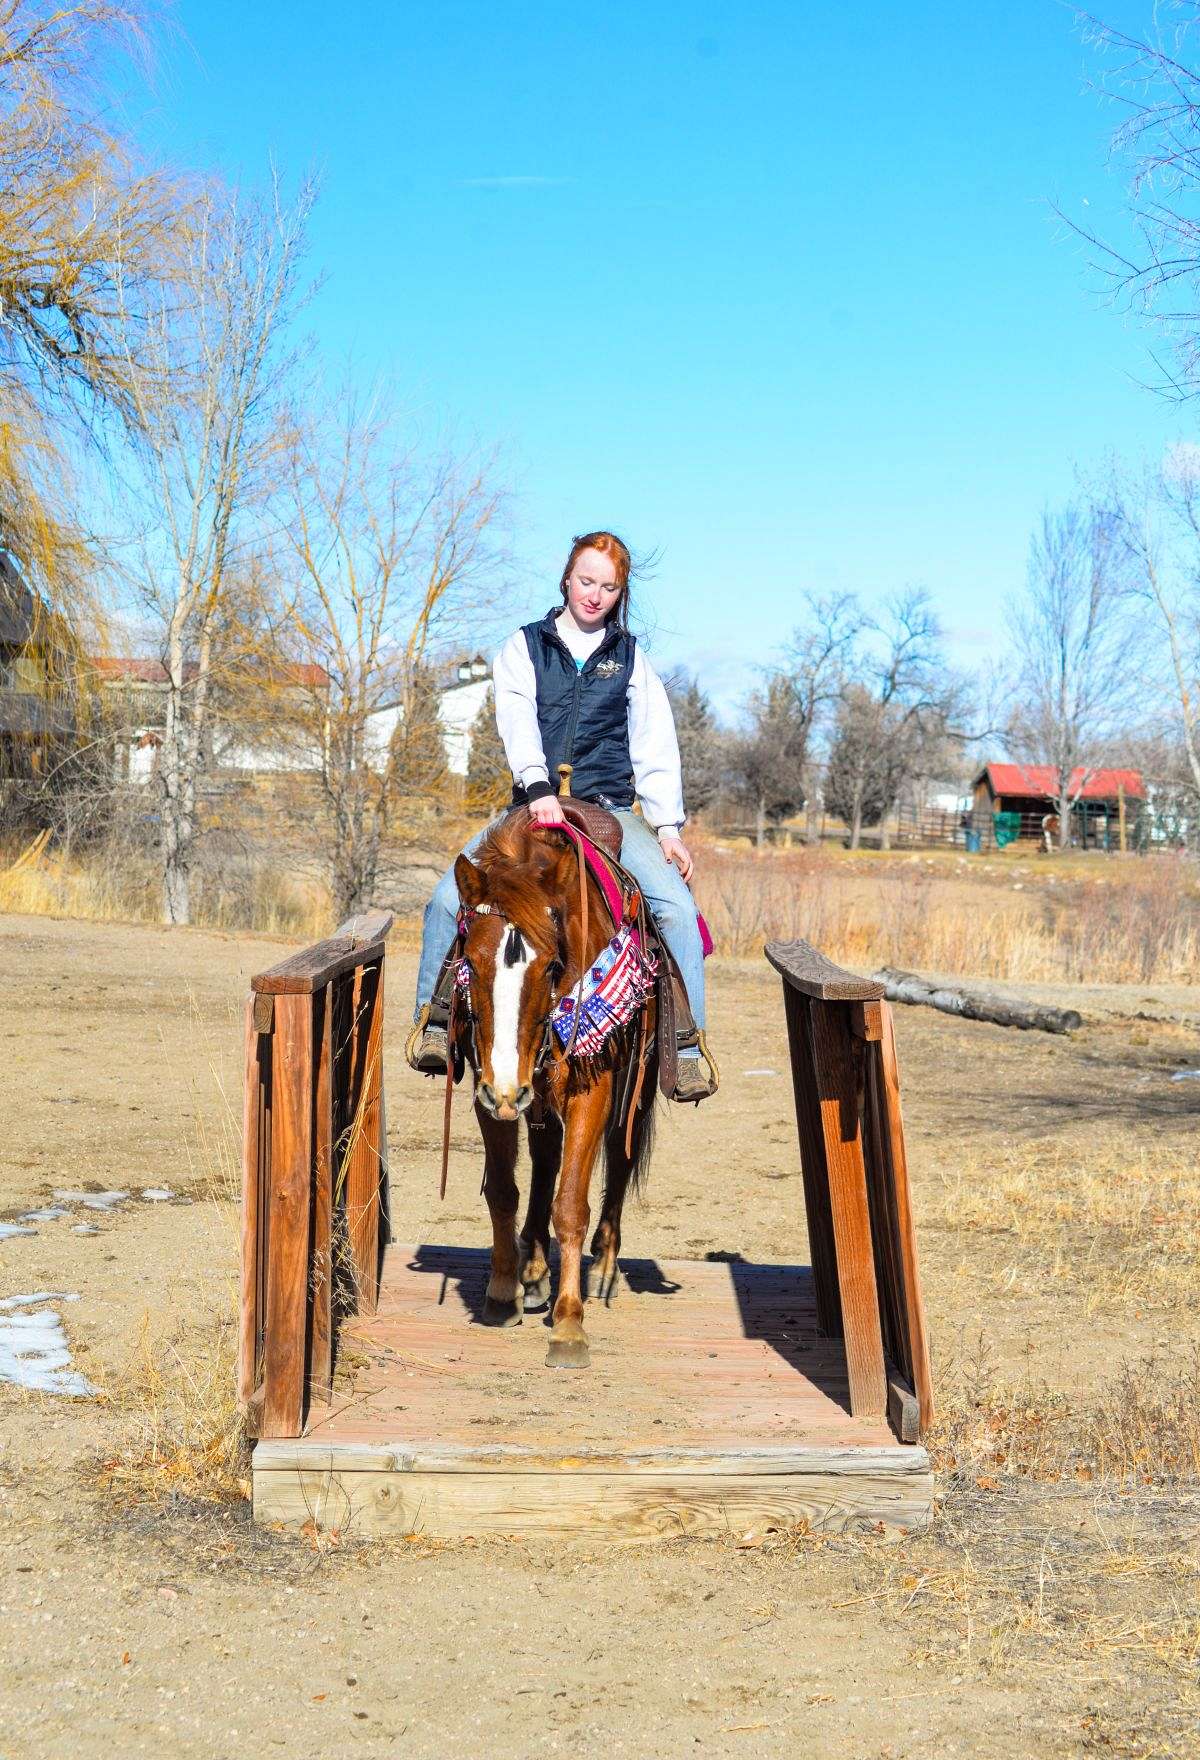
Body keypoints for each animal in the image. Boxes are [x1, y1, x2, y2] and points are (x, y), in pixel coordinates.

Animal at [449, 809, 658, 1369]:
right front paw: (504, 1293)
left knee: (619, 1159)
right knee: (544, 1159)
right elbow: (504, 1190)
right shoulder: (487, 1090)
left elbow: (571, 1205)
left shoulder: (592, 1090)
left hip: (633, 1087)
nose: (509, 1087)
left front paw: (568, 1324)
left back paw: (602, 1270)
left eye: (552, 966)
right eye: (469, 962)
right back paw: (535, 1270)